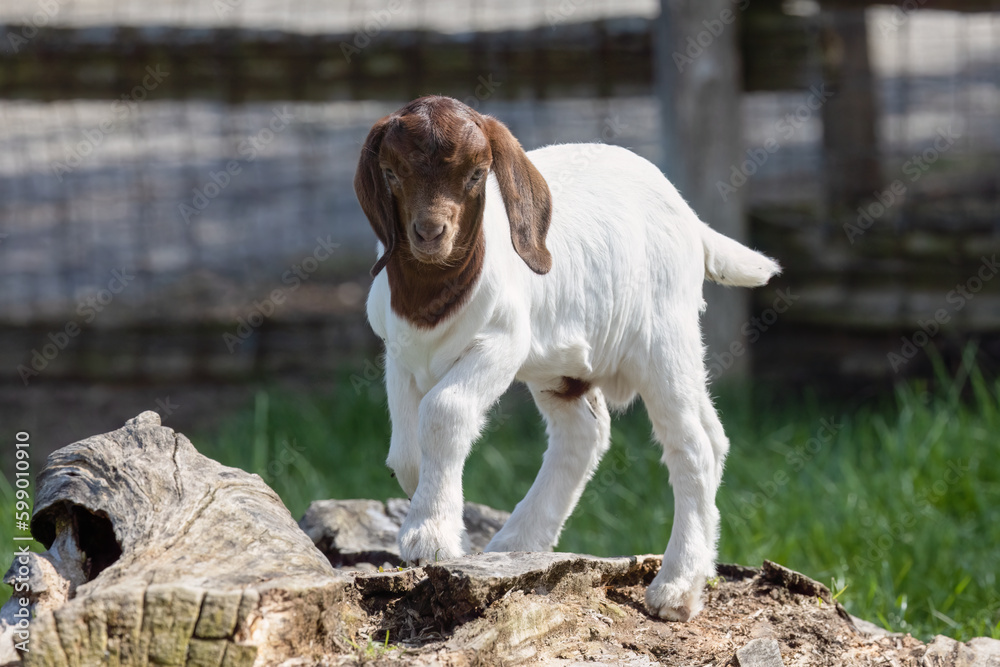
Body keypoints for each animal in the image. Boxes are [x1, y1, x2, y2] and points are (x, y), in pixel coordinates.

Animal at [354, 96, 780, 621]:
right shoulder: (400, 353)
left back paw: (677, 587)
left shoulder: (501, 342)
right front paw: (429, 510)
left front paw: (429, 536)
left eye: (476, 174)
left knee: (694, 443)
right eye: (391, 171)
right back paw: (520, 542)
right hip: (563, 365)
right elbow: (405, 454)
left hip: (665, 336)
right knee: (595, 434)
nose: (430, 233)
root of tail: (689, 218)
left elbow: (443, 410)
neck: (432, 294)